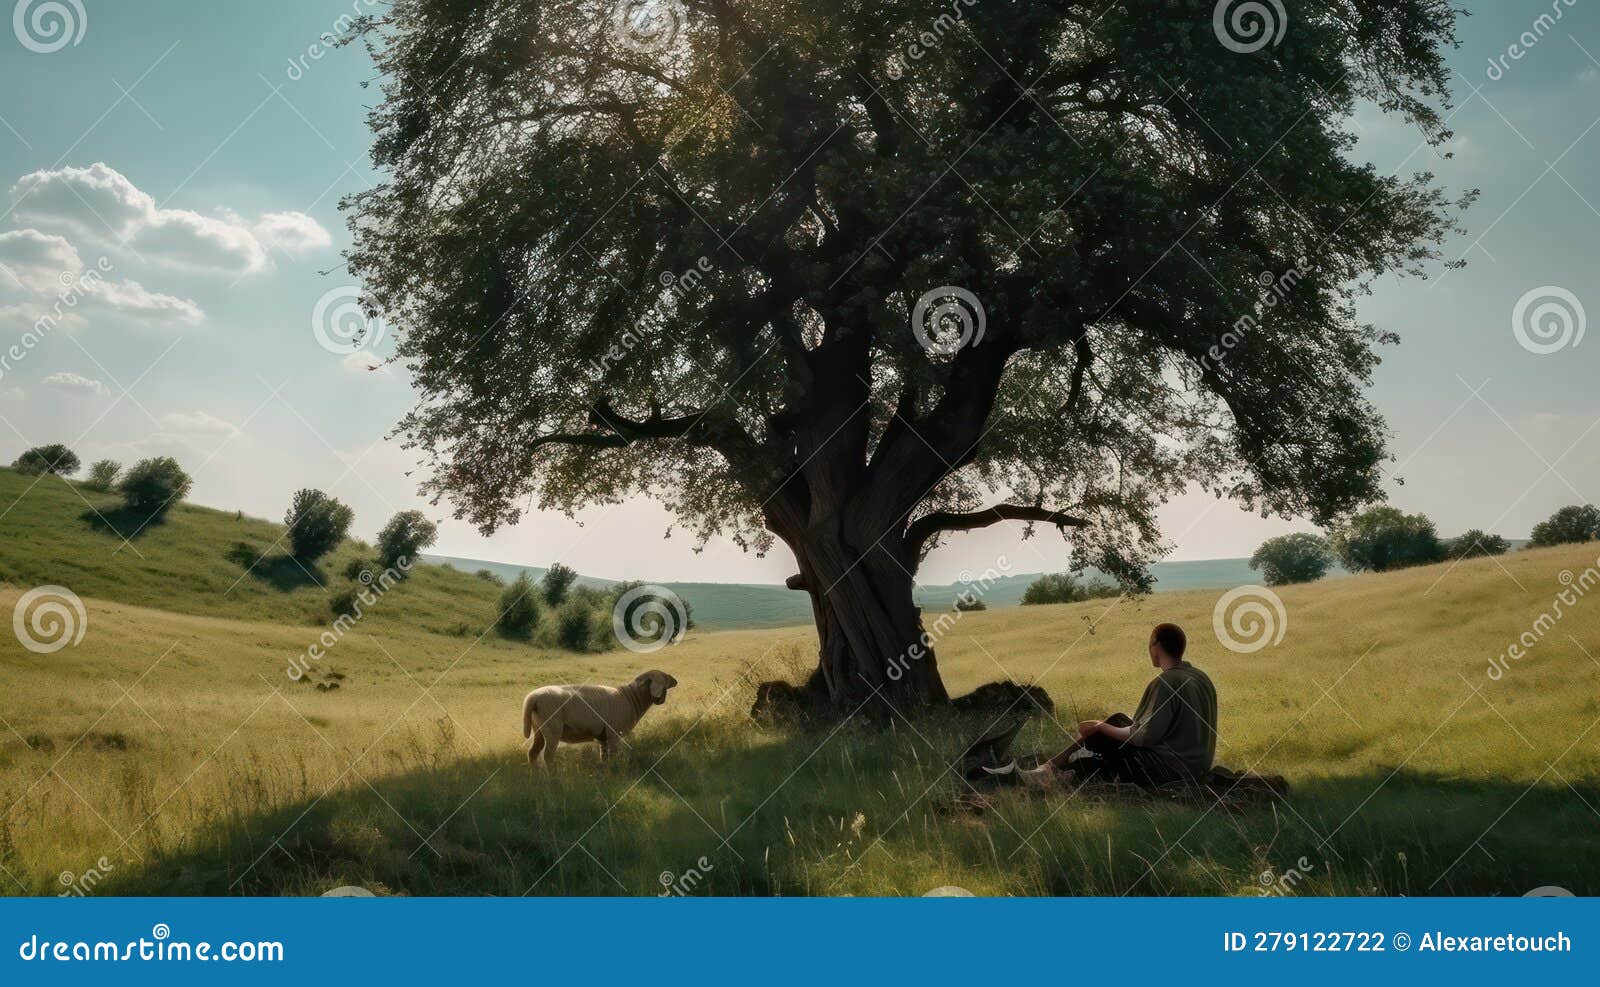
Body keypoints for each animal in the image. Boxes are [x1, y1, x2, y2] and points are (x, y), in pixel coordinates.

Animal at [522, 670, 679, 769]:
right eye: (663, 678)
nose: (676, 681)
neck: (630, 698)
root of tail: (533, 697)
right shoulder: (614, 733)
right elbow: (613, 755)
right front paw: (614, 771)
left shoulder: (603, 736)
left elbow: (604, 756)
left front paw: (605, 772)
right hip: (552, 730)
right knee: (548, 756)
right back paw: (553, 778)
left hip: (539, 730)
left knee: (533, 753)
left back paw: (535, 777)